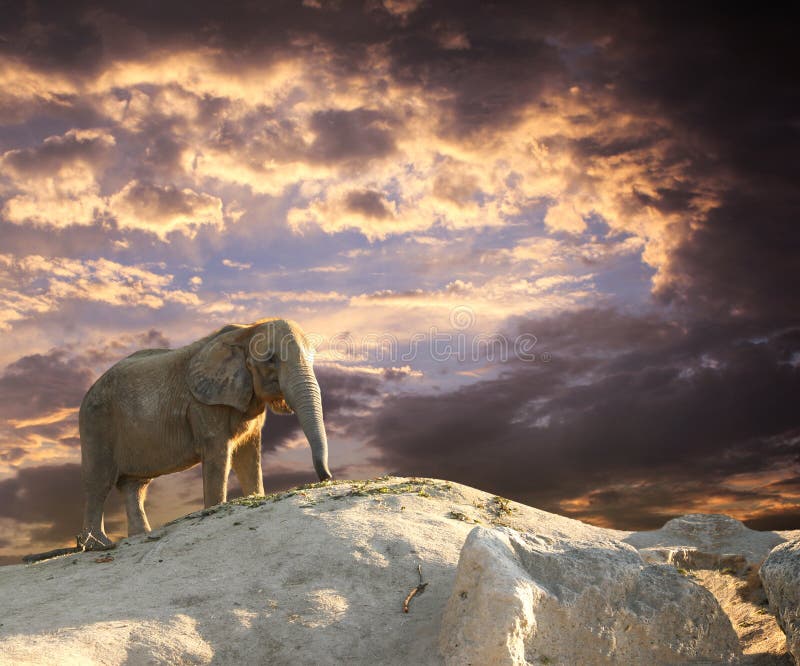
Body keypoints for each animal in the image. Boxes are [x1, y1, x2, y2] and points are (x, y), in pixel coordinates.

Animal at [77, 318, 332, 550]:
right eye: (270, 359)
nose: (326, 477)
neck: (246, 331)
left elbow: (249, 453)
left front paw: (256, 495)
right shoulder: (202, 403)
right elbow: (218, 452)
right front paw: (214, 508)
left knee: (135, 485)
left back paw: (139, 536)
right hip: (96, 422)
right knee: (100, 481)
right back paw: (99, 544)